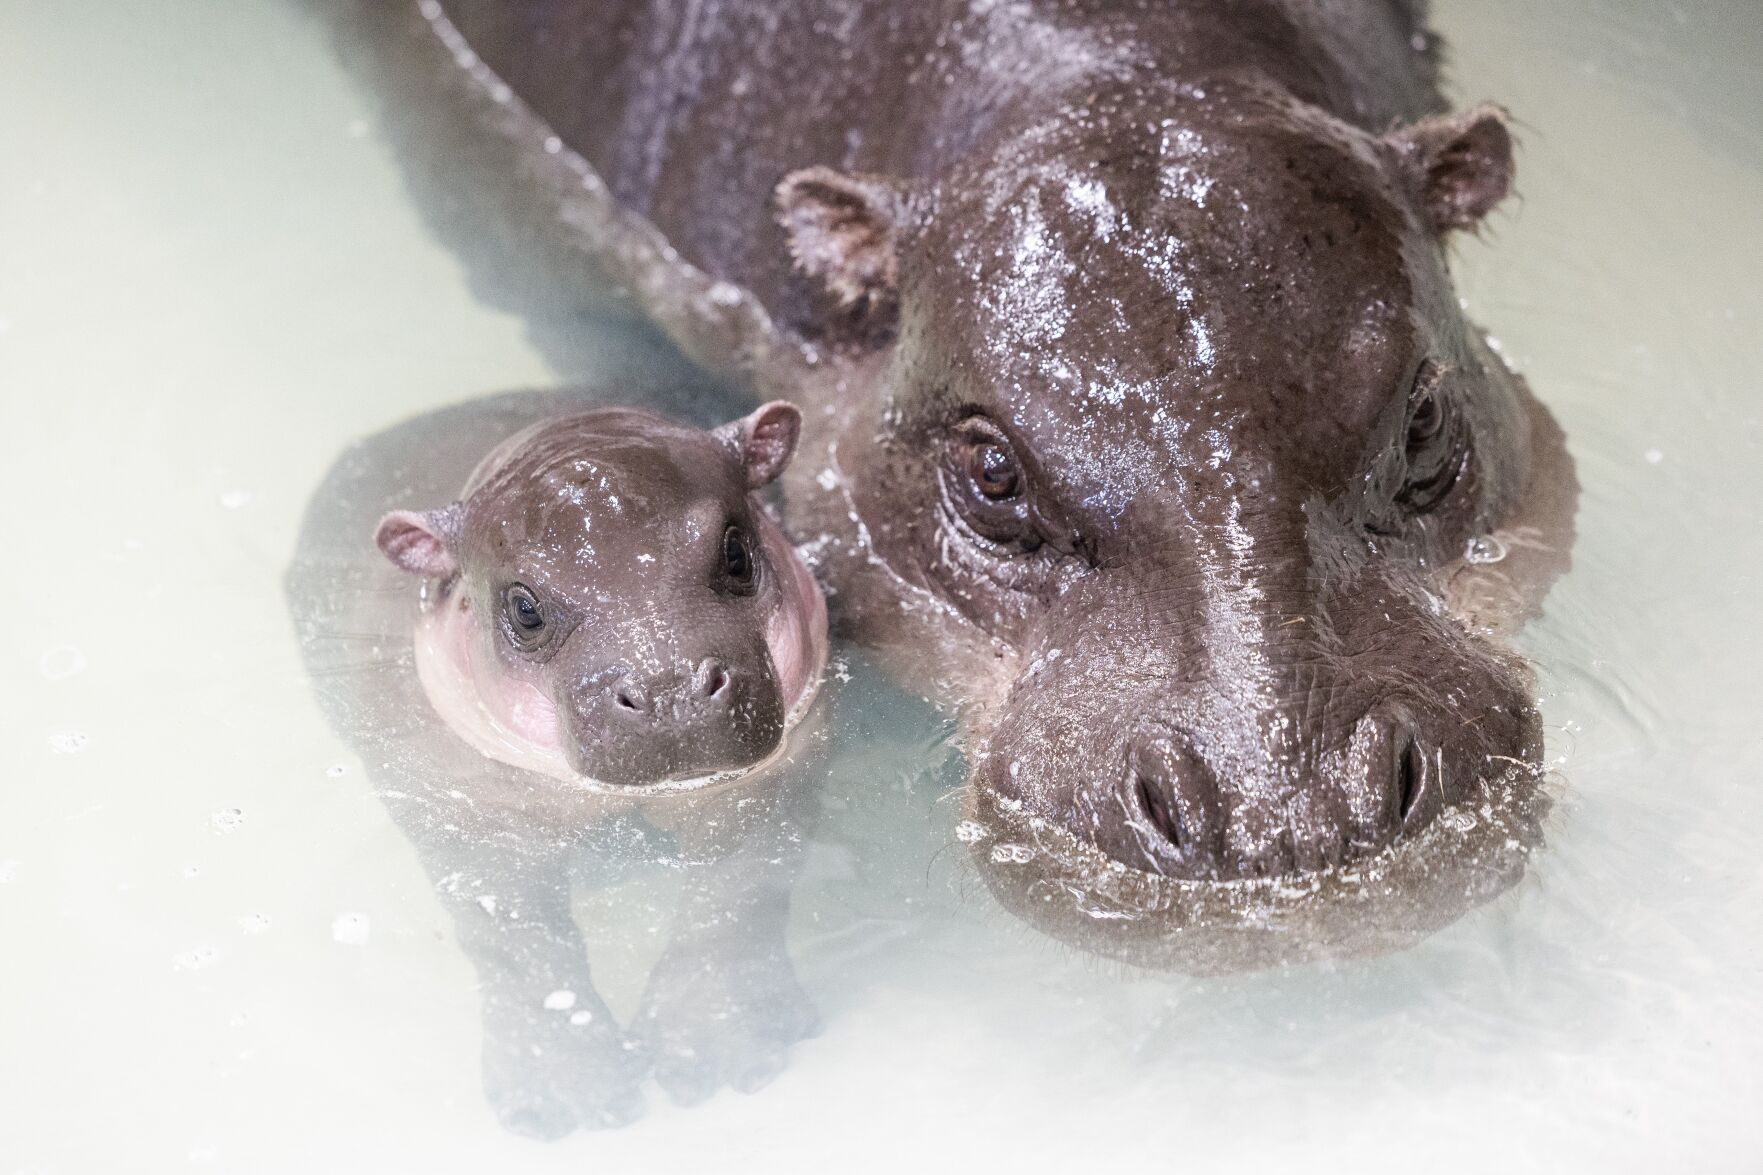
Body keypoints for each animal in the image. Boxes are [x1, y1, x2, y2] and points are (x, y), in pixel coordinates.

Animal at [287, 389, 835, 1136]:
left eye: (733, 551)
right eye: (524, 607)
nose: (669, 692)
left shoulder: (765, 782)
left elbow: (737, 896)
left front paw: (721, 1047)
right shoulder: (473, 818)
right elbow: (516, 937)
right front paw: (565, 1097)